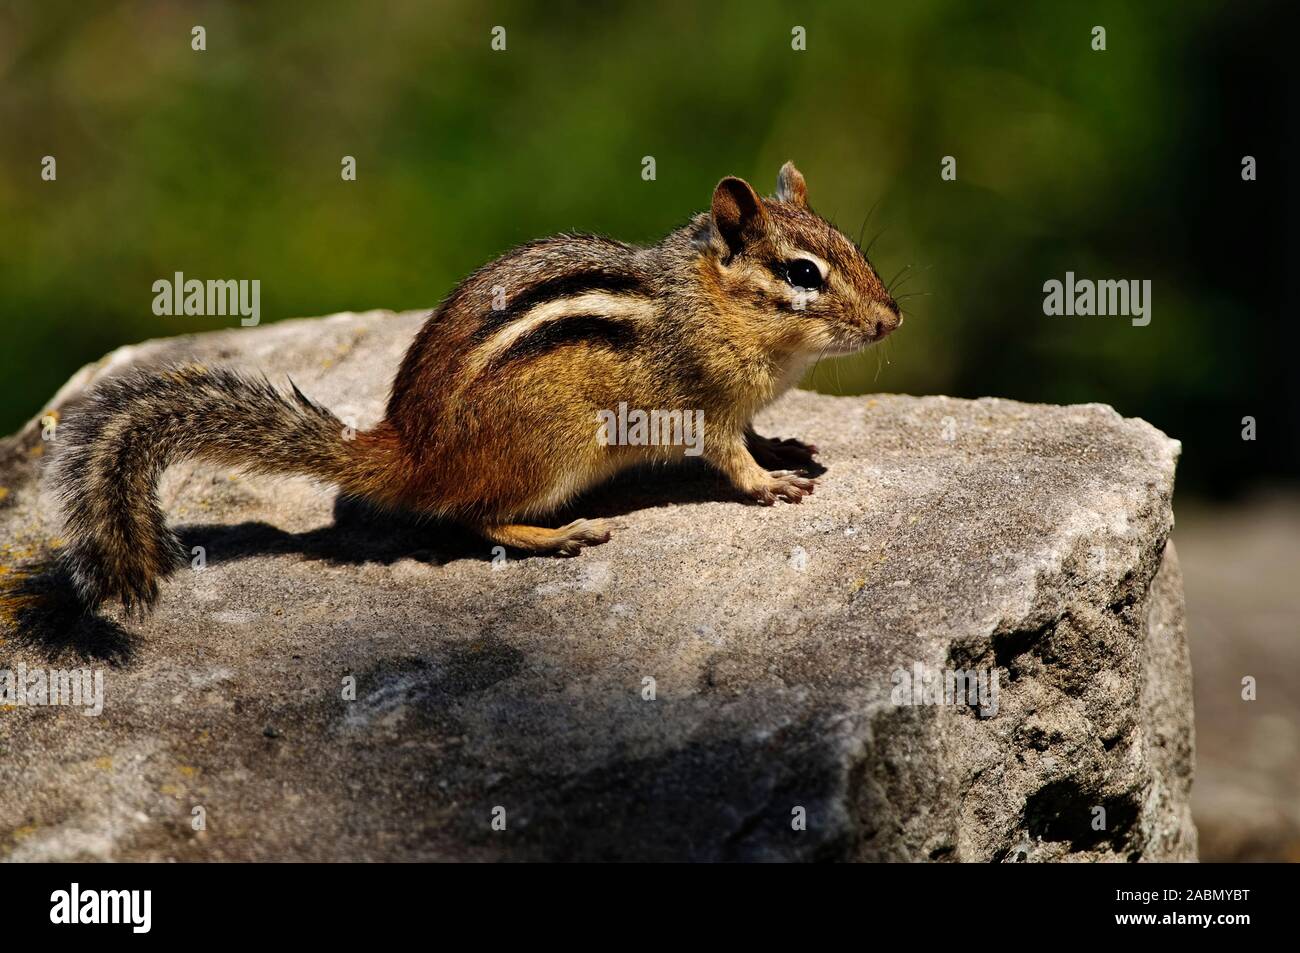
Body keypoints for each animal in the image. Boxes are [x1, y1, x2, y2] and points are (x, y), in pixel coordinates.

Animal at [50, 162, 901, 614]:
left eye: (852, 249)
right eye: (802, 273)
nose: (892, 318)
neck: (712, 303)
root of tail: (409, 452)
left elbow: (755, 434)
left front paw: (783, 443)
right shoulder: (703, 402)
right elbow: (729, 457)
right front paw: (770, 482)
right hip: (553, 450)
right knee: (475, 518)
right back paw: (560, 536)